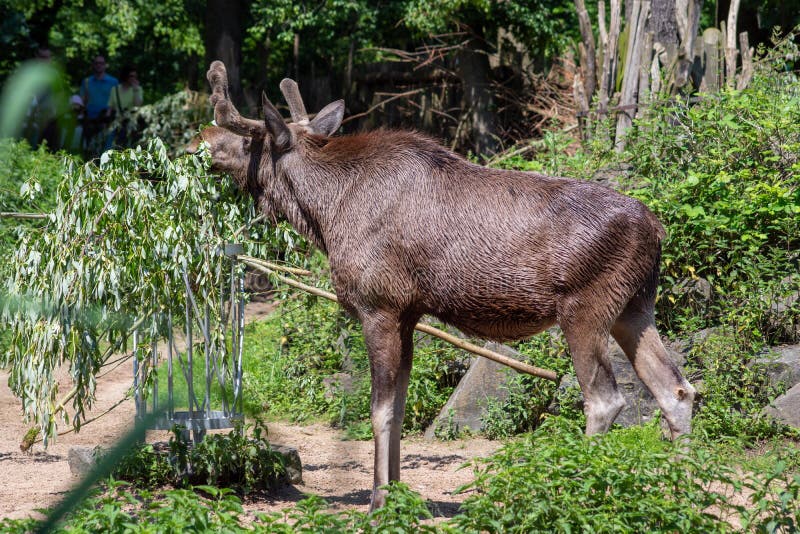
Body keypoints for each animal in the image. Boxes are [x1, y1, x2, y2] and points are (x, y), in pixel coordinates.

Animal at [189, 60, 695, 511]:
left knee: (605, 400)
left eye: (249, 137)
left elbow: (379, 410)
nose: (198, 139)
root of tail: (657, 229)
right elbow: (400, 407)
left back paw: (577, 493)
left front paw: (379, 502)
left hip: (585, 310)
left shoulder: (380, 306)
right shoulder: (410, 313)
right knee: (676, 390)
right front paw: (398, 493)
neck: (324, 214)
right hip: (634, 308)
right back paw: (682, 491)